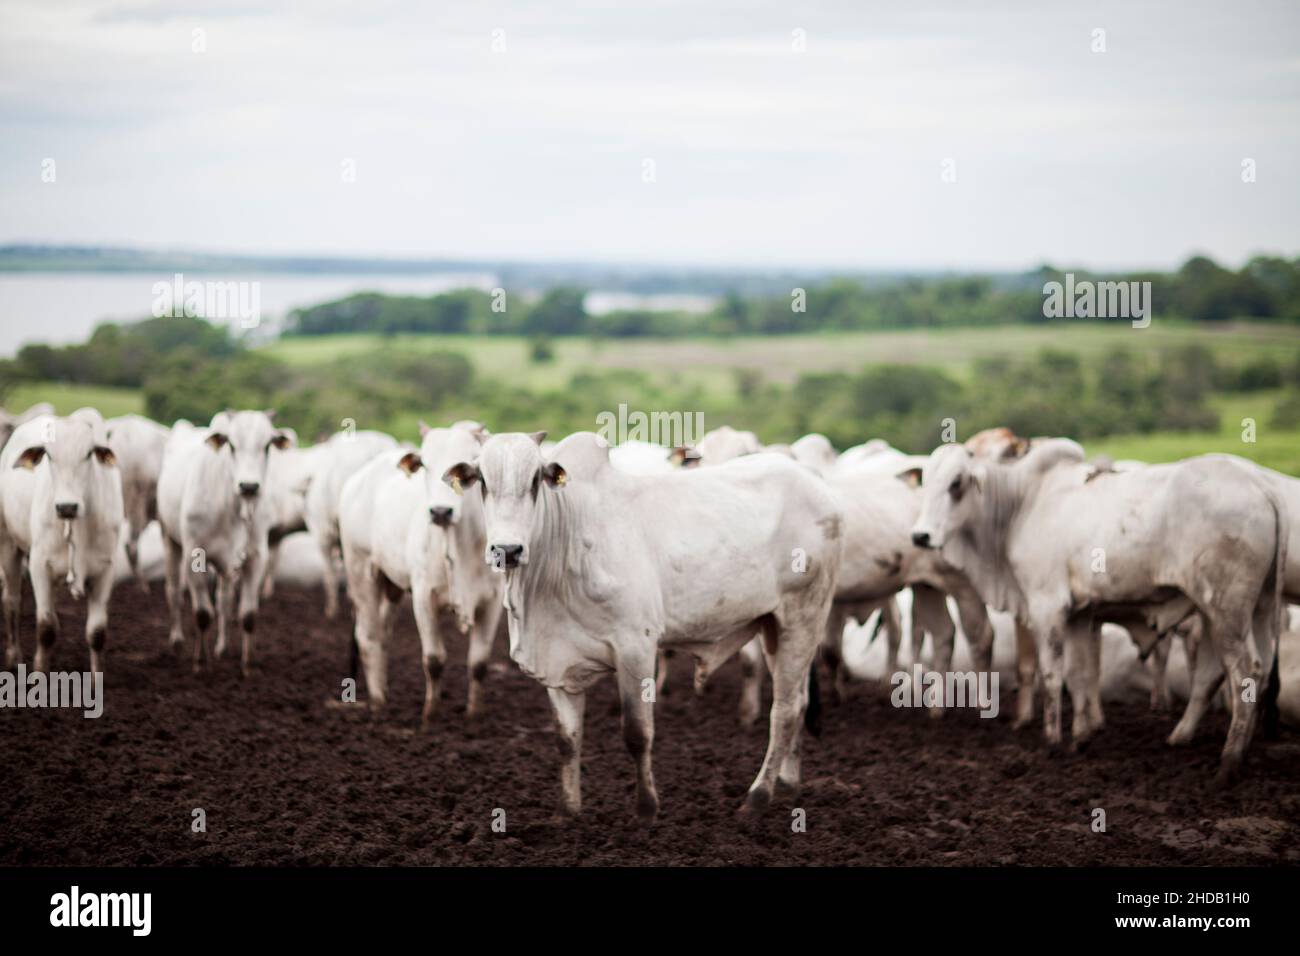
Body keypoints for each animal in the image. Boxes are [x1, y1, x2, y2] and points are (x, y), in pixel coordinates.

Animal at [0, 414, 124, 673]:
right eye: (49, 455)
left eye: (89, 453)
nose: (67, 506)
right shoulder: (39, 565)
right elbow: (46, 628)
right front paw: (39, 674)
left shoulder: (105, 570)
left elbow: (97, 633)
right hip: (8, 544)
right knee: (12, 600)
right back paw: (14, 656)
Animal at [156, 410, 294, 674]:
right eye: (231, 445)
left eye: (267, 446)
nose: (249, 486)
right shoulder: (193, 556)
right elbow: (202, 613)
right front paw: (200, 662)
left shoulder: (255, 558)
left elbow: (248, 615)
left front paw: (248, 665)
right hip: (169, 539)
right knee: (173, 591)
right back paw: (177, 641)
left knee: (224, 600)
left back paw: (223, 647)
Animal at [338, 421, 502, 725]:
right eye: (425, 464)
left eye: (466, 466)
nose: (440, 512)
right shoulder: (424, 597)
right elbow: (434, 659)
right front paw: (431, 715)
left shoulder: (493, 601)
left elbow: (479, 663)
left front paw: (474, 716)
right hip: (361, 572)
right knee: (368, 637)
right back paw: (378, 703)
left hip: (391, 586)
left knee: (383, 636)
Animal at [441, 430, 842, 819]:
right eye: (483, 481)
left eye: (535, 480)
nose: (507, 550)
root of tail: (815, 481)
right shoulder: (559, 663)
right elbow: (566, 739)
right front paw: (567, 812)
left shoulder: (635, 647)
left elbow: (637, 732)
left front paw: (646, 809)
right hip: (775, 628)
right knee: (800, 702)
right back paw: (787, 783)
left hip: (803, 616)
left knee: (784, 711)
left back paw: (757, 797)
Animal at [911, 440, 1287, 783]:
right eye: (925, 480)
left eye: (956, 483)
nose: (920, 536)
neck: (1023, 504)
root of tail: (1263, 487)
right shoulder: (1080, 614)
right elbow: (1079, 674)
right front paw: (1081, 737)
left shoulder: (1046, 606)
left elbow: (1052, 674)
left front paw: (1052, 741)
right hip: (1255, 609)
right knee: (1246, 671)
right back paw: (1213, 744)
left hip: (1226, 612)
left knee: (1244, 674)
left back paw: (1229, 761)